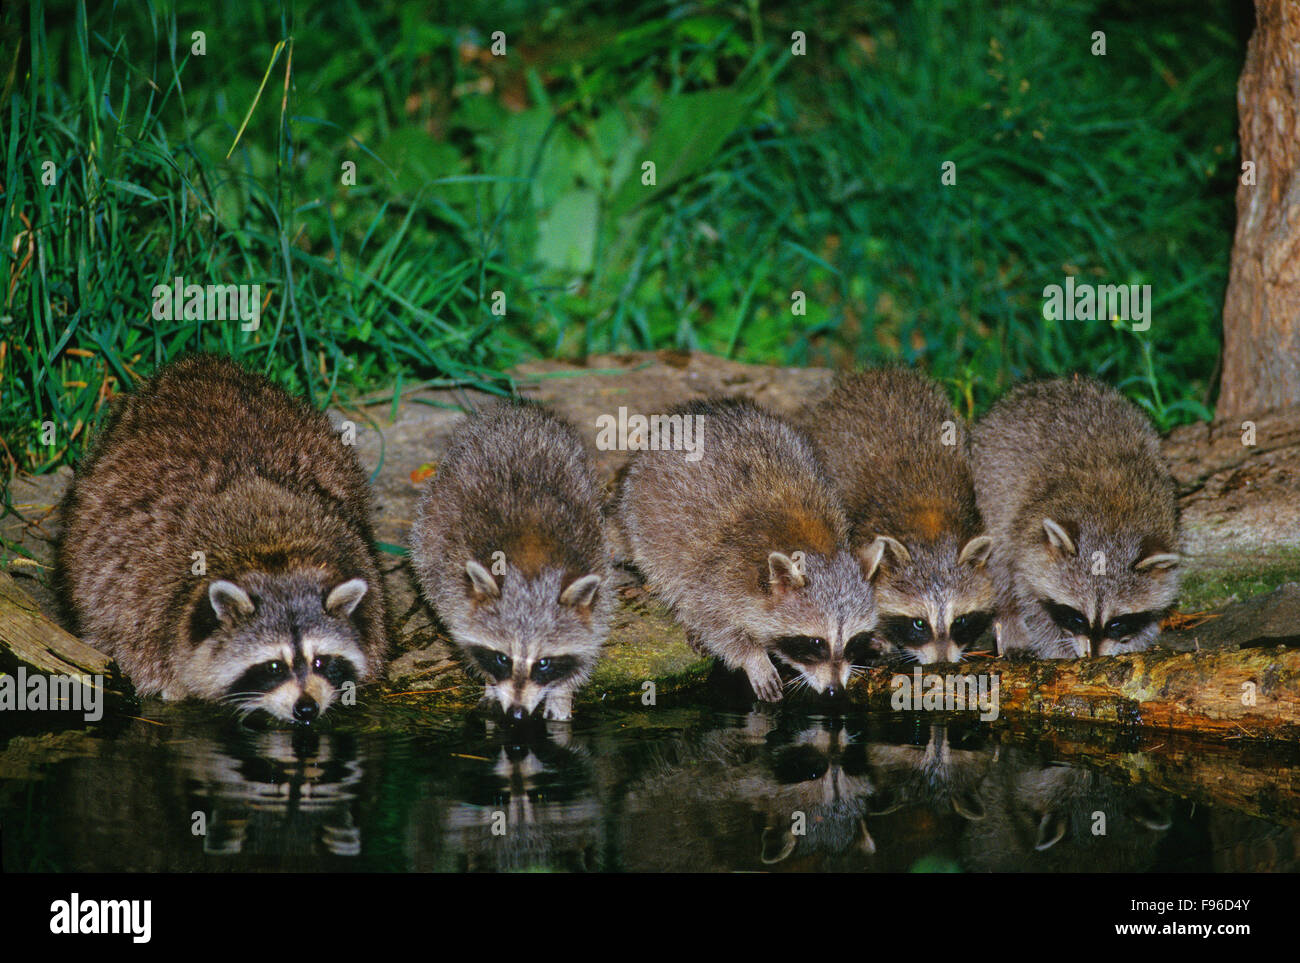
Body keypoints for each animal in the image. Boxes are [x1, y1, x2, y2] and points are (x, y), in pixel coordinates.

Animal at [55, 355, 388, 723]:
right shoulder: (146, 613)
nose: (306, 709)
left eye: (320, 661)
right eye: (274, 667)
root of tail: (200, 363)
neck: (274, 555)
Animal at [410, 401, 612, 722]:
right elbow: (463, 630)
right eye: (503, 658)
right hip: (432, 519)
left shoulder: (598, 573)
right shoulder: (454, 585)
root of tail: (512, 409)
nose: (517, 713)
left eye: (543, 663)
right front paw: (492, 685)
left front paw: (561, 694)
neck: (531, 565)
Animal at [618, 398, 881, 701]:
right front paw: (752, 657)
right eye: (816, 643)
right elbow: (714, 621)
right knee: (666, 571)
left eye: (853, 641)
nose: (834, 691)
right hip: (645, 516)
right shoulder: (720, 573)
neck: (814, 546)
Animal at [970, 376, 1180, 658]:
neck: (1112, 518)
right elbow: (1031, 602)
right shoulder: (1028, 542)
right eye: (1077, 617)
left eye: (1117, 623)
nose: (1093, 658)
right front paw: (1059, 649)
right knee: (1000, 567)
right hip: (991, 492)